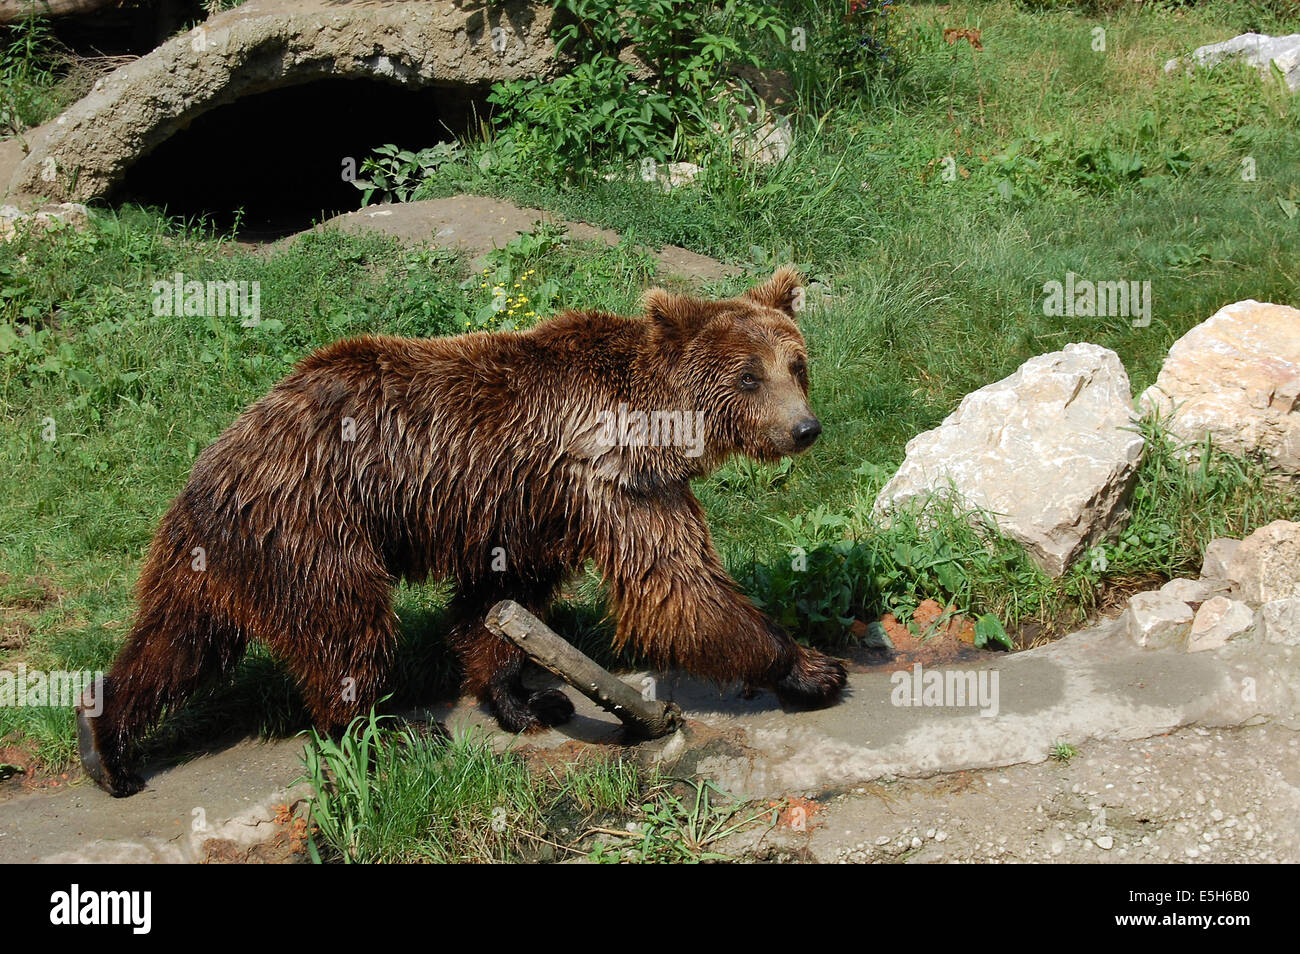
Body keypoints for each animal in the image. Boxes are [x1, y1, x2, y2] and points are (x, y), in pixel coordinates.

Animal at [77, 265, 847, 796]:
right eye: (749, 377)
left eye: (797, 363)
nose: (804, 428)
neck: (664, 423)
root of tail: (217, 464)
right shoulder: (616, 481)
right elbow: (679, 584)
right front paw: (811, 667)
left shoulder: (536, 507)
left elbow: (497, 602)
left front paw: (527, 697)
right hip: (316, 528)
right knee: (346, 633)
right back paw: (387, 733)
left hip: (213, 557)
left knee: (176, 645)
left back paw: (104, 743)